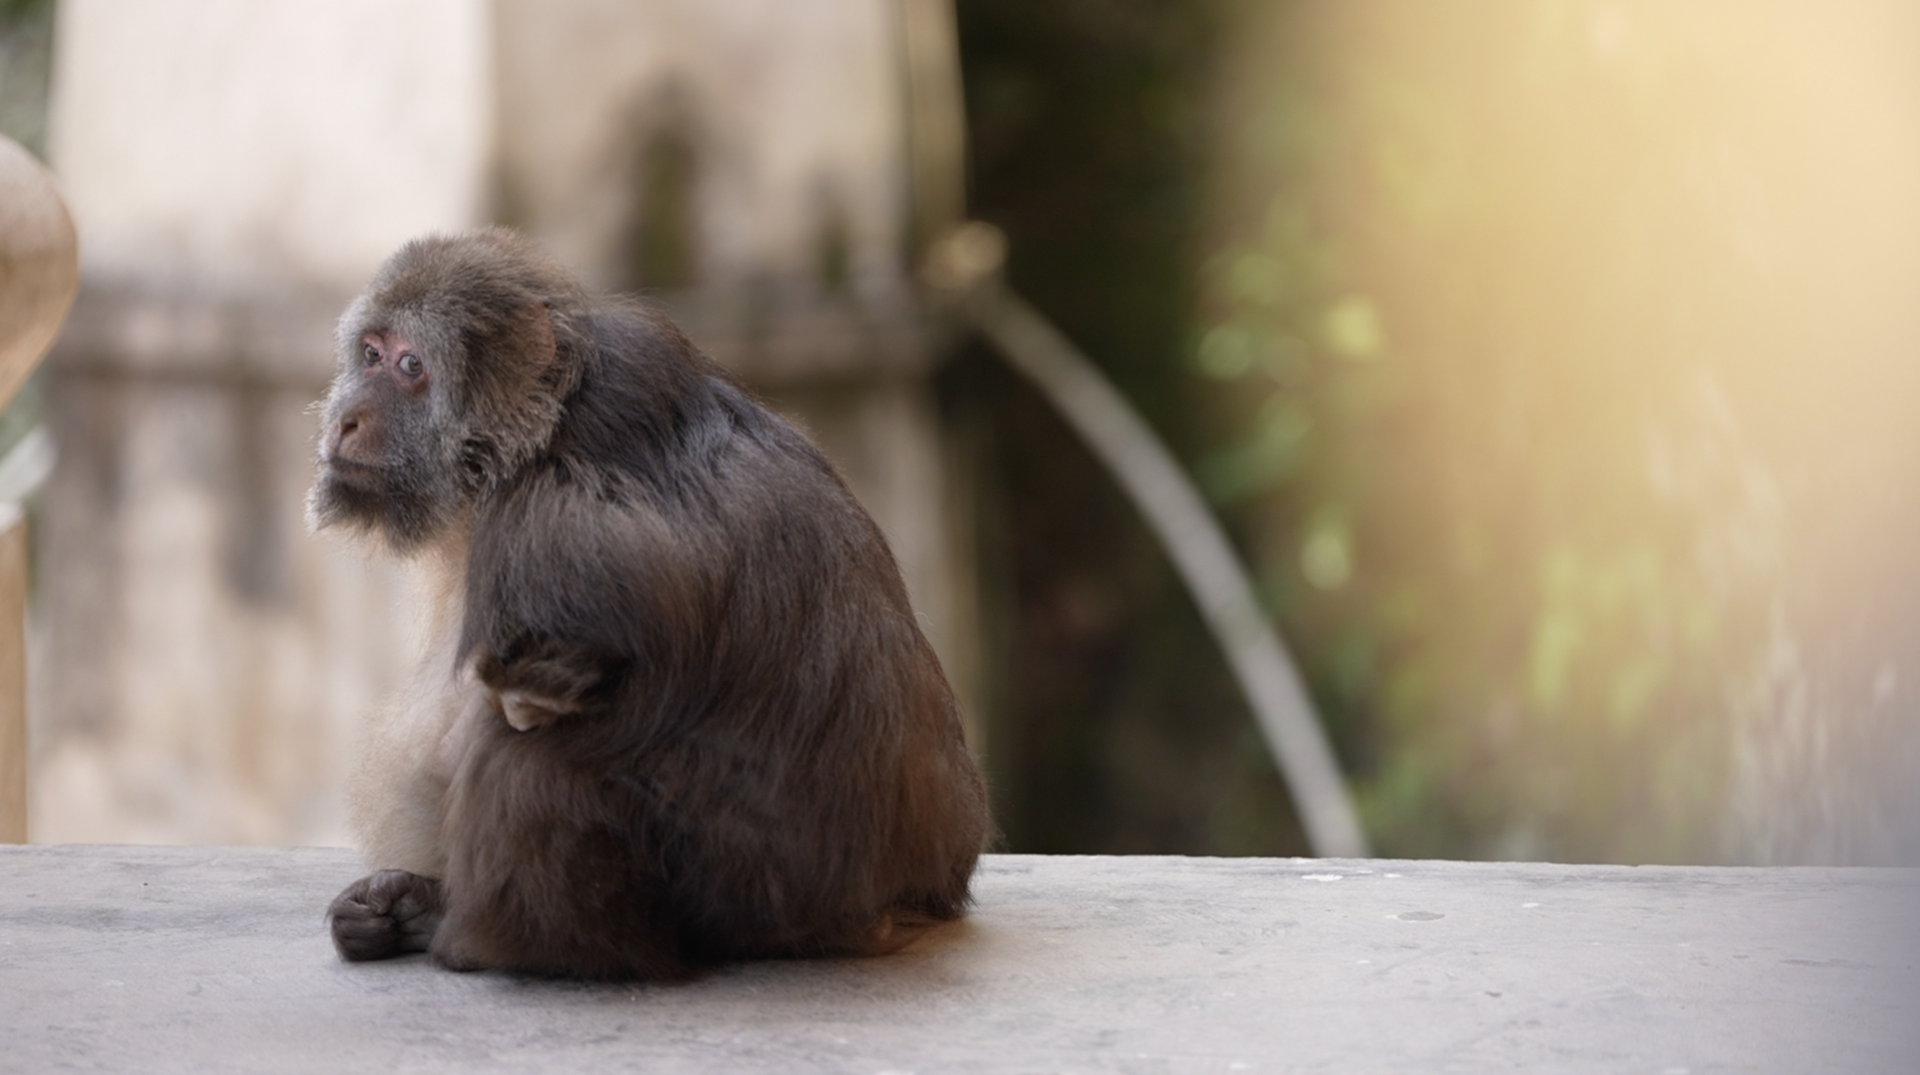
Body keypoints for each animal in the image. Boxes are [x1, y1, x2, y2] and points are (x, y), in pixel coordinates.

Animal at [308, 228, 990, 979]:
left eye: (411, 367)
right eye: (371, 355)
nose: (346, 420)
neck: (530, 438)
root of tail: (907, 899)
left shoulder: (547, 518)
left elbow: (555, 676)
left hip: (754, 893)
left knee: (531, 747)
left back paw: (485, 936)